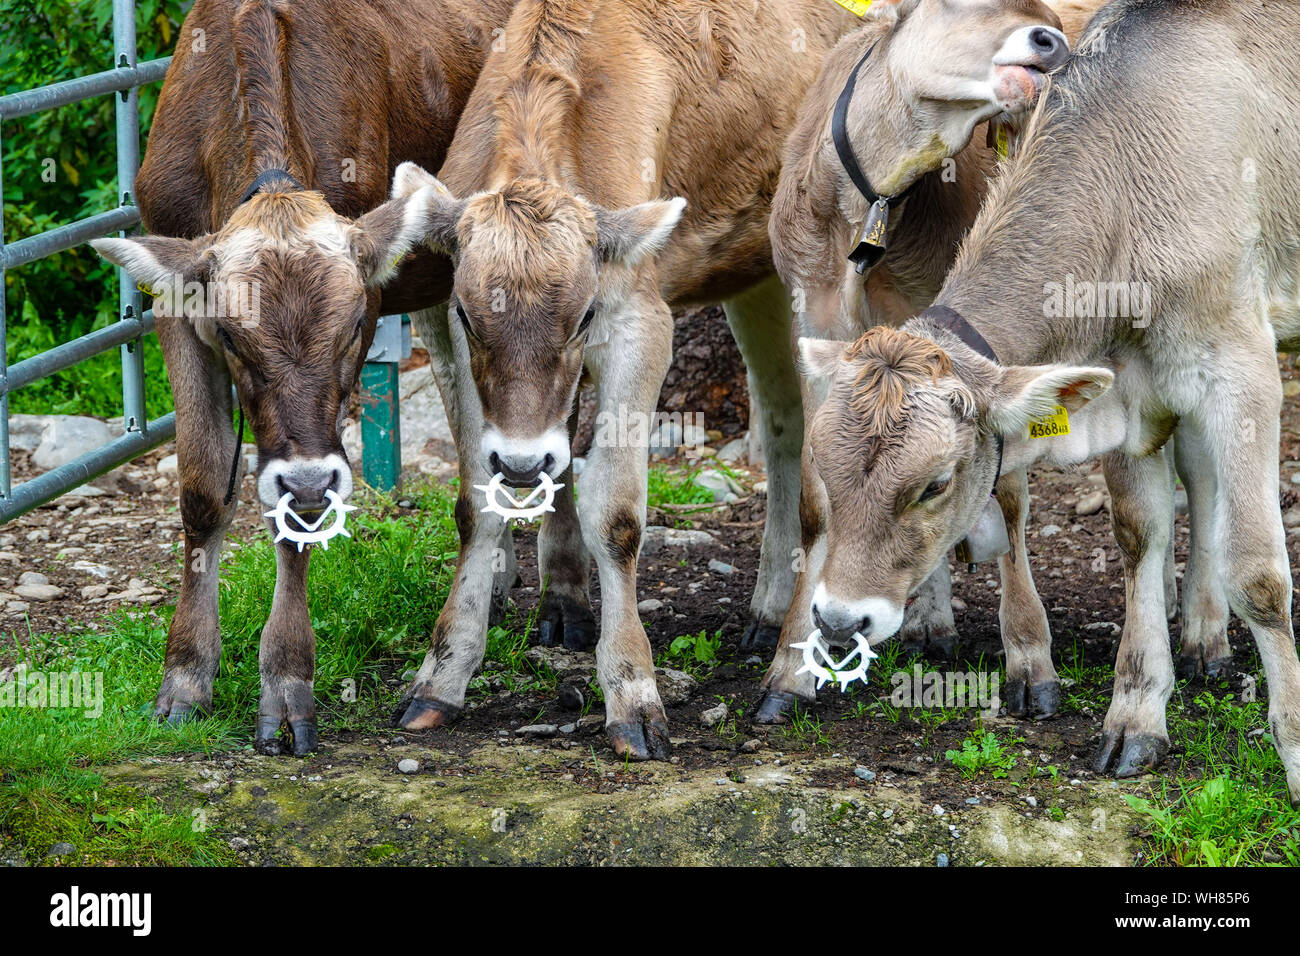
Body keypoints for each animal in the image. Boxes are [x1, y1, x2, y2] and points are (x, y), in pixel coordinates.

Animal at [88, 0, 516, 755]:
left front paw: (286, 685)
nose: (313, 478)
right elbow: (203, 488)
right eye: (232, 336)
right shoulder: (175, 302)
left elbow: (294, 521)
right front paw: (185, 677)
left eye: (354, 327)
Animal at [385, 0, 1070, 760]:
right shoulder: (452, 343)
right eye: (468, 314)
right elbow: (476, 506)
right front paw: (442, 674)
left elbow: (617, 515)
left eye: (585, 313)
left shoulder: (642, 323)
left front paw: (632, 694)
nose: (524, 459)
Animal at [792, 0, 1300, 802]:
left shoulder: (1239, 363)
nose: (840, 620)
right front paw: (1137, 714)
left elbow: (1261, 575)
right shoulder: (1129, 387)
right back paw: (1202, 636)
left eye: (934, 485)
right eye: (827, 474)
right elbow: (1139, 534)